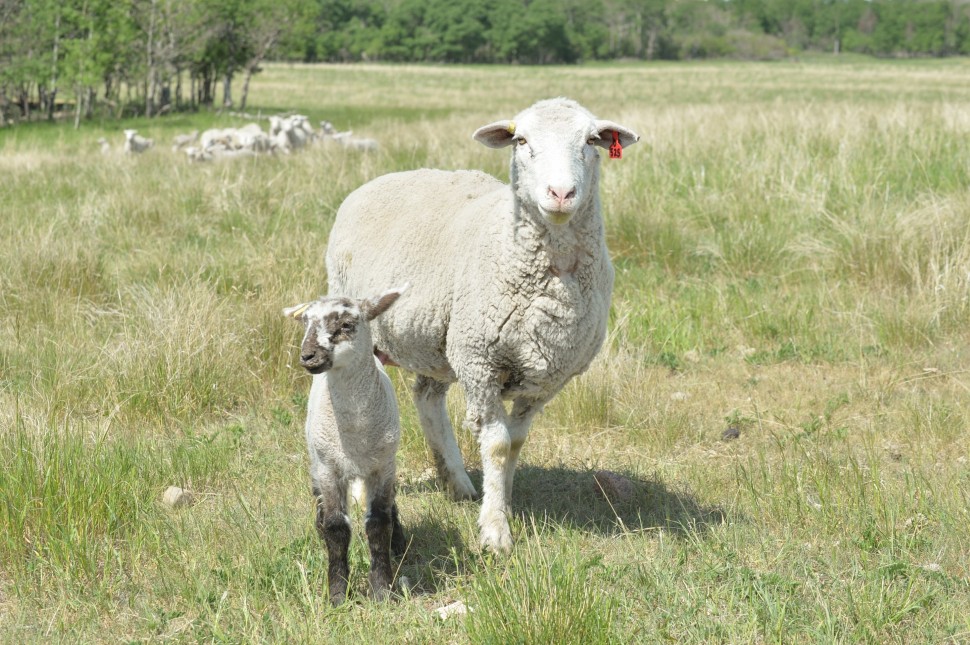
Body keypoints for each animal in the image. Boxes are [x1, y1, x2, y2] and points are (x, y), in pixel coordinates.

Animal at [283, 288, 409, 605]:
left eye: (346, 325)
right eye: (305, 324)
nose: (308, 356)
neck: (355, 434)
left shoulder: (382, 466)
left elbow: (379, 522)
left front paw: (382, 590)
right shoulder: (329, 468)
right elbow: (336, 527)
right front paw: (338, 594)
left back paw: (399, 543)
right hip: (317, 458)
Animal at [325, 98, 639, 553]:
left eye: (591, 141)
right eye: (521, 140)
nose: (561, 194)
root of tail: (385, 177)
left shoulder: (545, 379)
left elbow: (516, 444)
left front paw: (501, 502)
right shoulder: (480, 364)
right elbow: (497, 444)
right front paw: (495, 531)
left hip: (440, 341)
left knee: (427, 399)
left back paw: (456, 481)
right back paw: (360, 490)